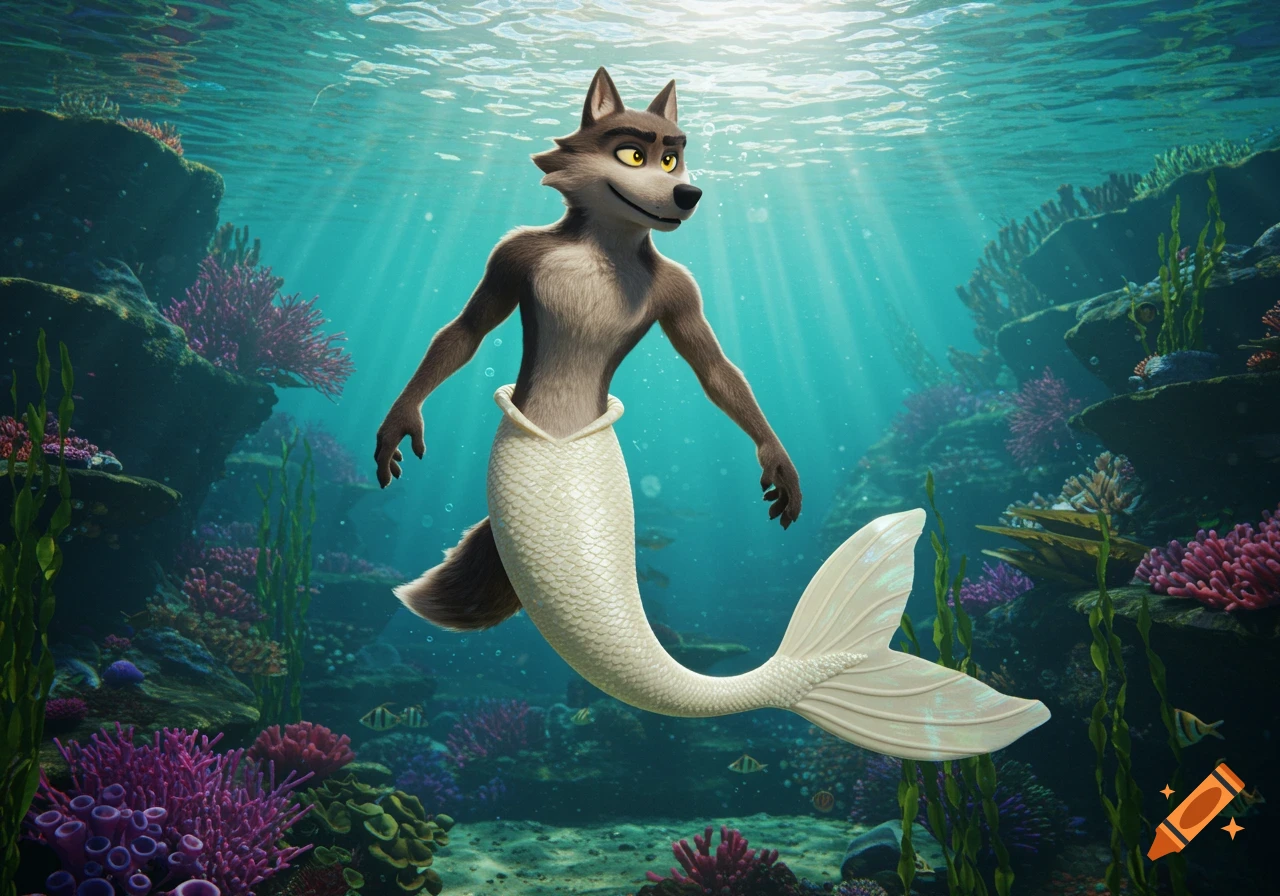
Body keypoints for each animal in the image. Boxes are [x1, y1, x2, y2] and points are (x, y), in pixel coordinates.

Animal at [374, 68, 1049, 760]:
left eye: (674, 157)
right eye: (635, 155)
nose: (687, 192)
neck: (604, 243)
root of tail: (796, 673)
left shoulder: (681, 289)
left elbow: (716, 371)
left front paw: (781, 471)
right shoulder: (512, 254)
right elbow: (466, 331)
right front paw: (396, 430)